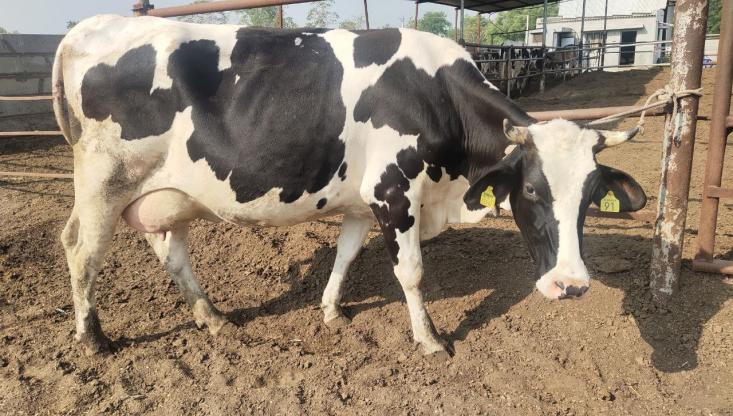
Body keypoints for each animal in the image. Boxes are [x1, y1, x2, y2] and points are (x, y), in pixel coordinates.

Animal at [53, 15, 646, 358]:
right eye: (532, 192)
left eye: (590, 198)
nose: (571, 284)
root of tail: (90, 25)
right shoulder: (394, 192)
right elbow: (411, 272)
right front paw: (430, 340)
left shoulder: (364, 202)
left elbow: (345, 254)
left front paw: (332, 310)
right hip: (104, 182)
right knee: (81, 249)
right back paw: (94, 338)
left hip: (165, 194)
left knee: (171, 251)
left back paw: (213, 318)